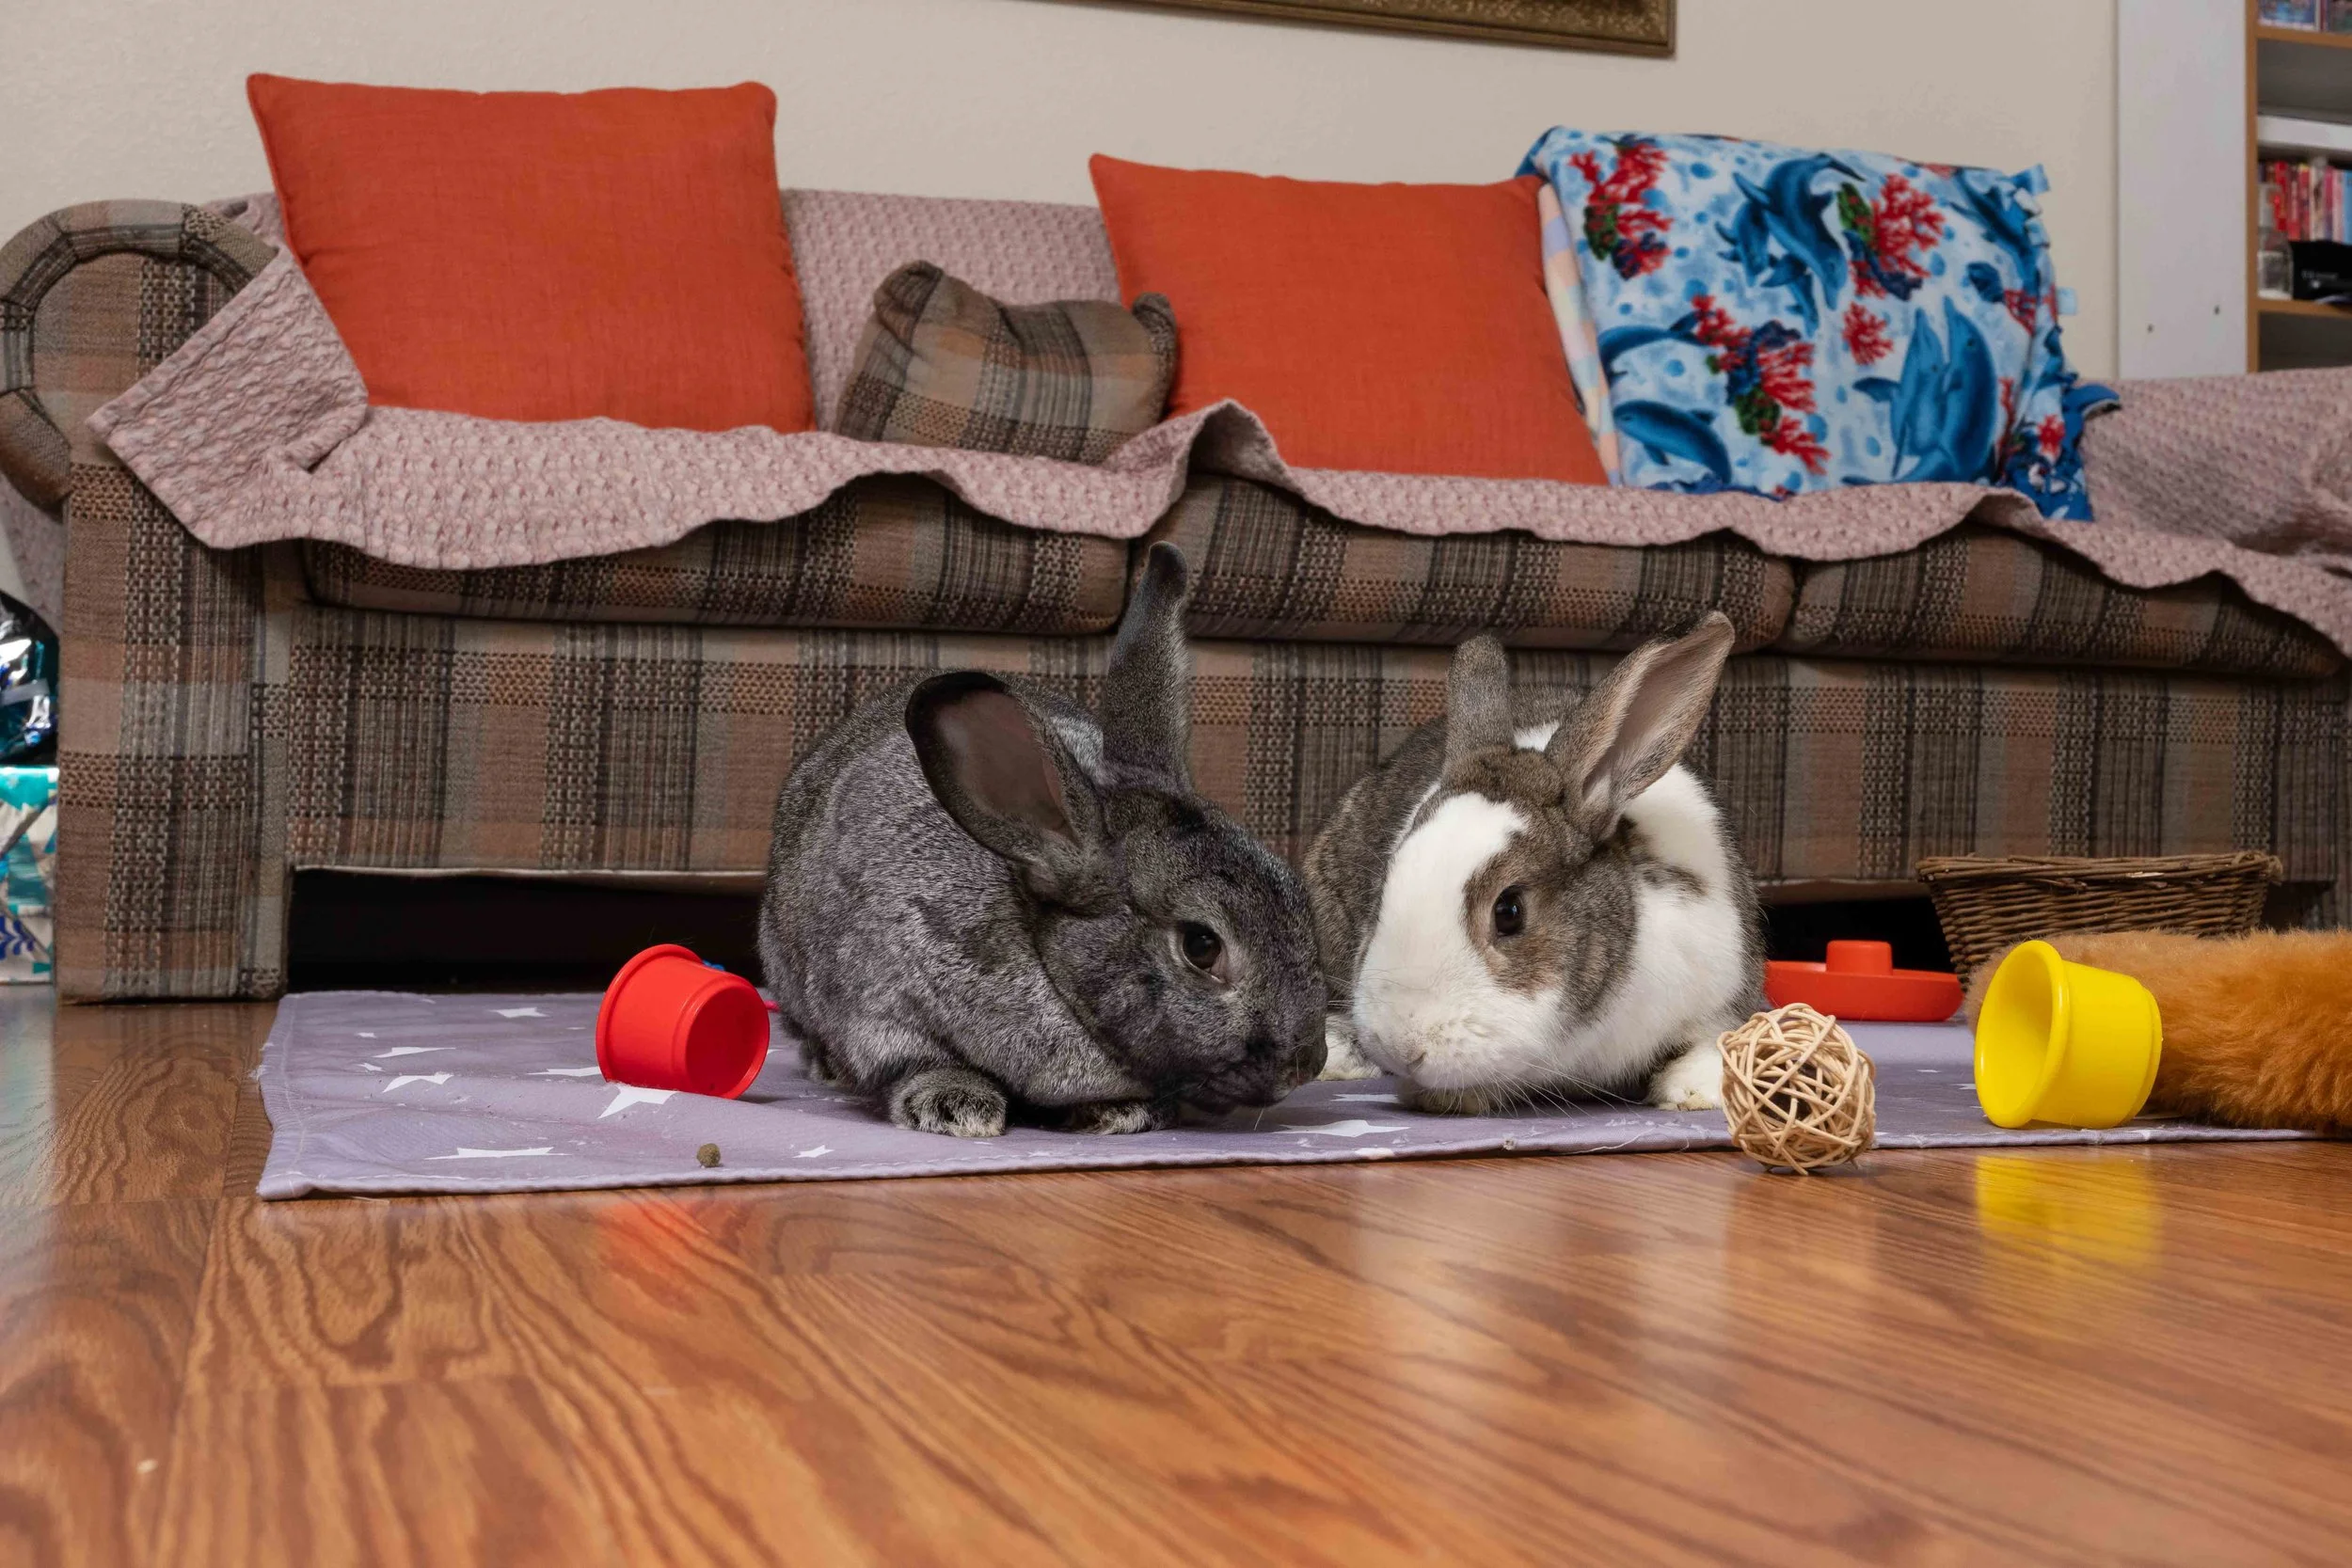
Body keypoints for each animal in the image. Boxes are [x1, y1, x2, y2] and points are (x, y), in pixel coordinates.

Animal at [757, 542, 1327, 1138]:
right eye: (1201, 946)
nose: (1309, 1064)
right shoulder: (883, 1012)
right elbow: (918, 1065)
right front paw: (958, 1109)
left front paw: (1122, 1113)